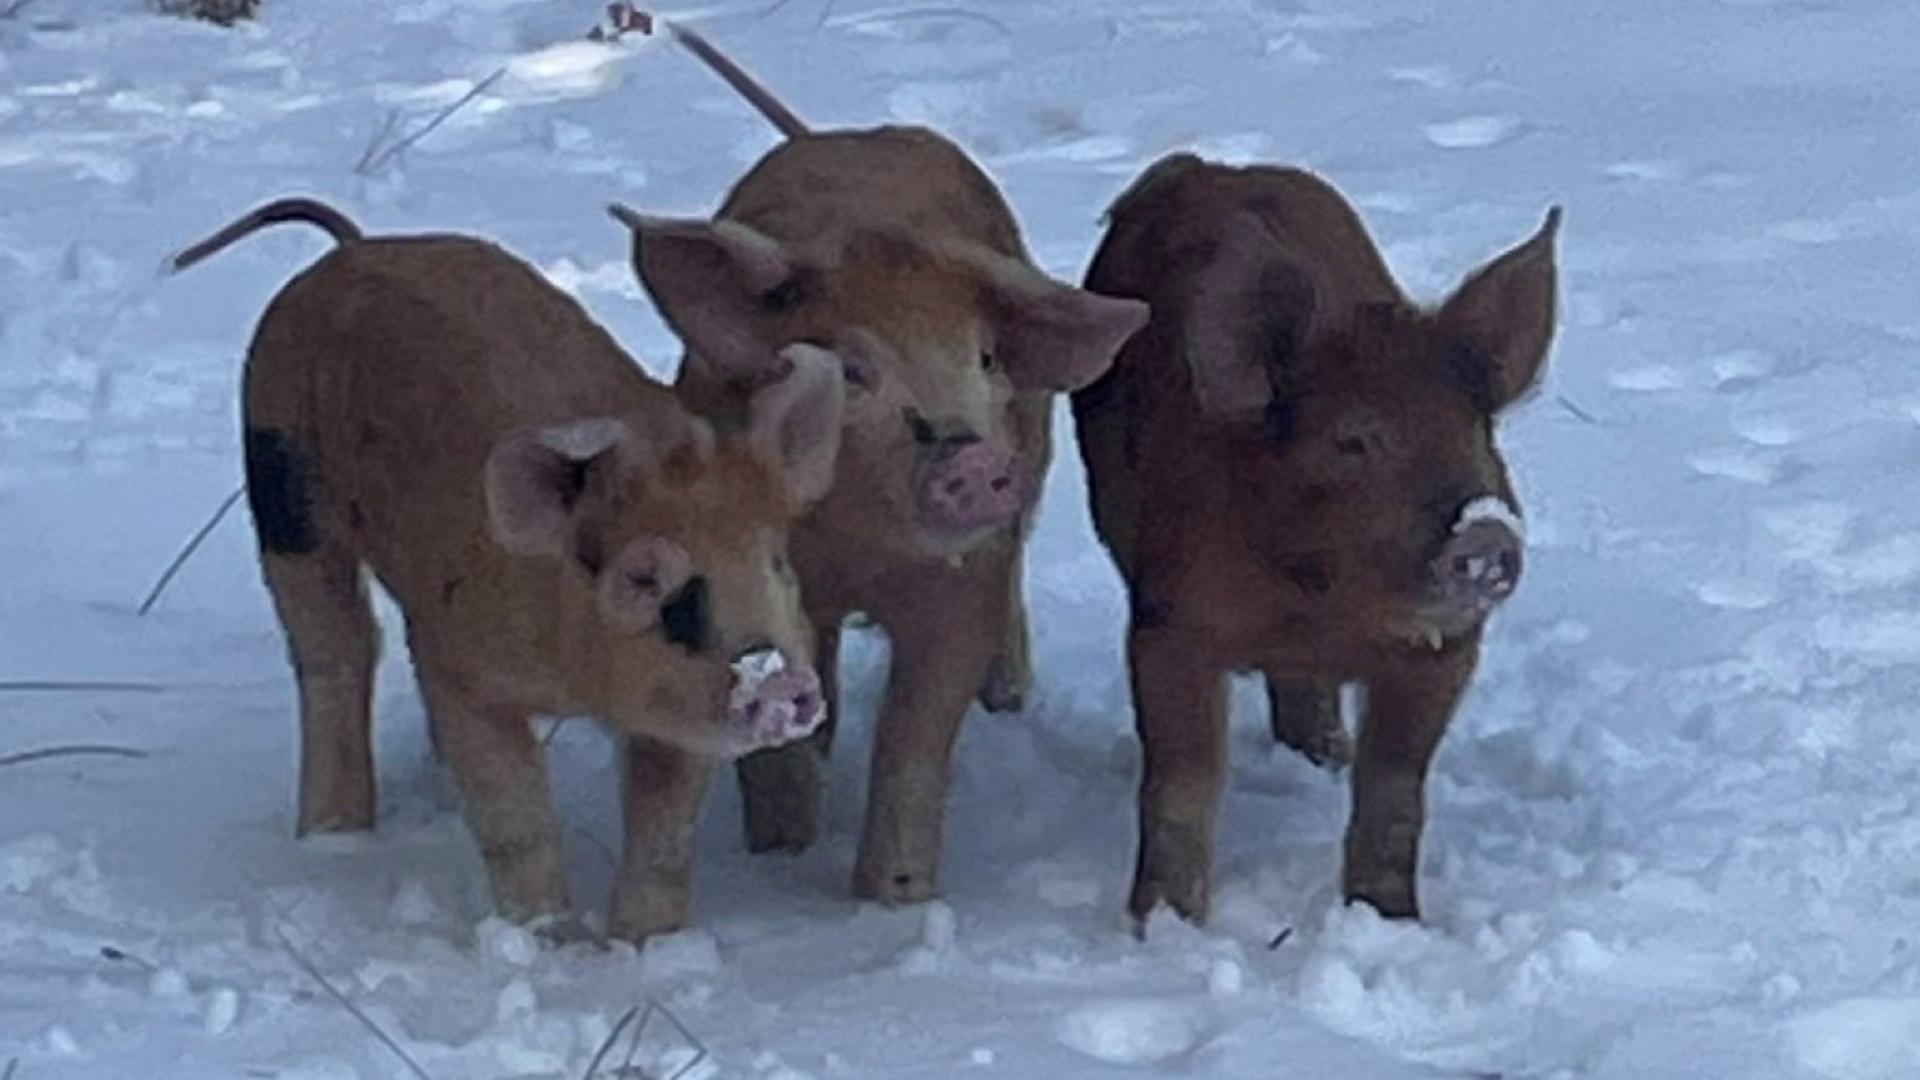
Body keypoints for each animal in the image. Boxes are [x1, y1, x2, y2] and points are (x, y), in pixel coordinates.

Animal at [170, 198, 846, 941]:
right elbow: (513, 817)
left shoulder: (674, 712)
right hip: (280, 478)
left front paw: (643, 945)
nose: (776, 679)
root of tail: (350, 247)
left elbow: (664, 834)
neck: (573, 686)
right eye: (642, 579)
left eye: (776, 560)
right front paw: (547, 941)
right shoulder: (469, 672)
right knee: (335, 648)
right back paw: (332, 838)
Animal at [608, 20, 1149, 905]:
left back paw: (1008, 700)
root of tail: (839, 132)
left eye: (986, 359)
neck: (860, 556)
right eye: (853, 369)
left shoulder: (963, 580)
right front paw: (782, 854)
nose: (974, 455)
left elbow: (917, 735)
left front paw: (892, 901)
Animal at [1071, 154, 1561, 927]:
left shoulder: (1447, 647)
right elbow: (1182, 781)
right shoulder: (1166, 622)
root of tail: (1213, 165)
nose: (1483, 529)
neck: (1316, 609)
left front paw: (1391, 921)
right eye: (1352, 441)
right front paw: (1162, 926)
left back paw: (1326, 754)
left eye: (1477, 428)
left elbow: (1394, 787)